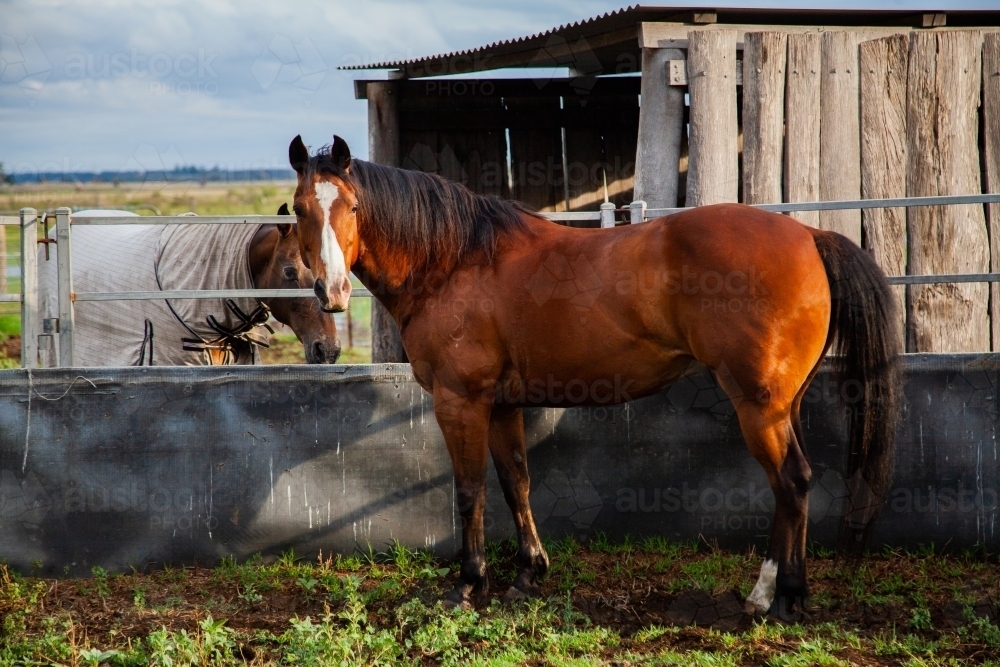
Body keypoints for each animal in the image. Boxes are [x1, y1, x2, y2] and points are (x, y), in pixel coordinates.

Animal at [286, 133, 901, 618]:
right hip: (782, 403)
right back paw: (784, 593)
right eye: (297, 208)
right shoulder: (502, 405)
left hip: (758, 405)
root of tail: (809, 238)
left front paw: (467, 584)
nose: (332, 292)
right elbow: (515, 482)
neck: (456, 261)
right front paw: (528, 574)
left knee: (791, 482)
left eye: (352, 206)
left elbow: (469, 490)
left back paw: (774, 596)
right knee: (794, 484)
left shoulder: (460, 401)